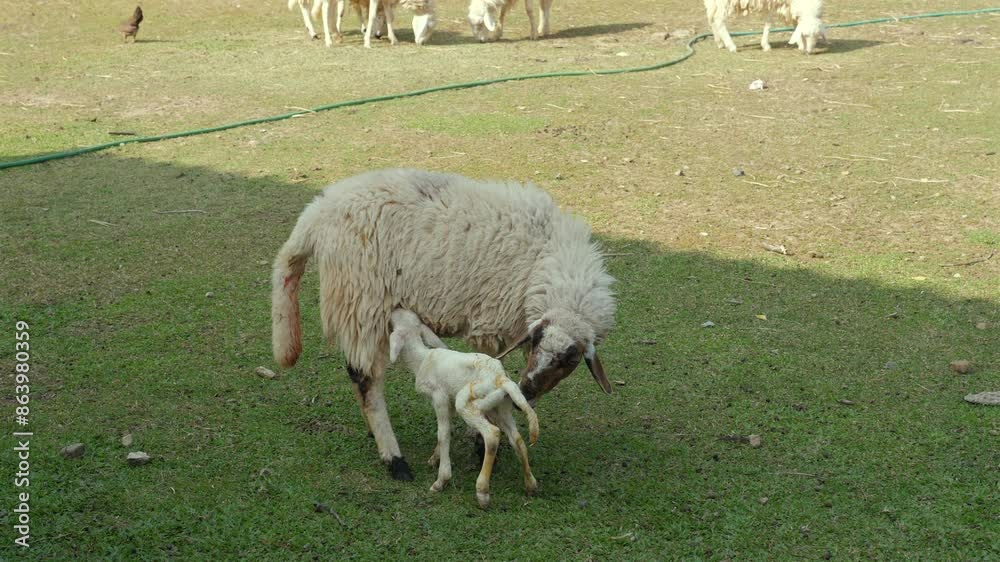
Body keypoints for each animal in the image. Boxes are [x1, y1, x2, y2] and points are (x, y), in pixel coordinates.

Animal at [272, 168, 615, 481]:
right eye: (539, 338)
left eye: (570, 360)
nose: (528, 388)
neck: (549, 261)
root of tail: (317, 212)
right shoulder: (492, 324)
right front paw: (482, 445)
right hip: (361, 300)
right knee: (365, 379)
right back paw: (394, 458)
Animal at [389, 309, 540, 508]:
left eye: (394, 323)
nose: (394, 310)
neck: (420, 360)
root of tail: (500, 378)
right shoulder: (450, 402)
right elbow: (448, 429)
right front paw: (434, 458)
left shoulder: (440, 398)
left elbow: (443, 433)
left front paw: (441, 479)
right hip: (500, 408)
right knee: (517, 440)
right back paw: (530, 485)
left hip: (468, 401)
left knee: (492, 434)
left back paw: (482, 492)